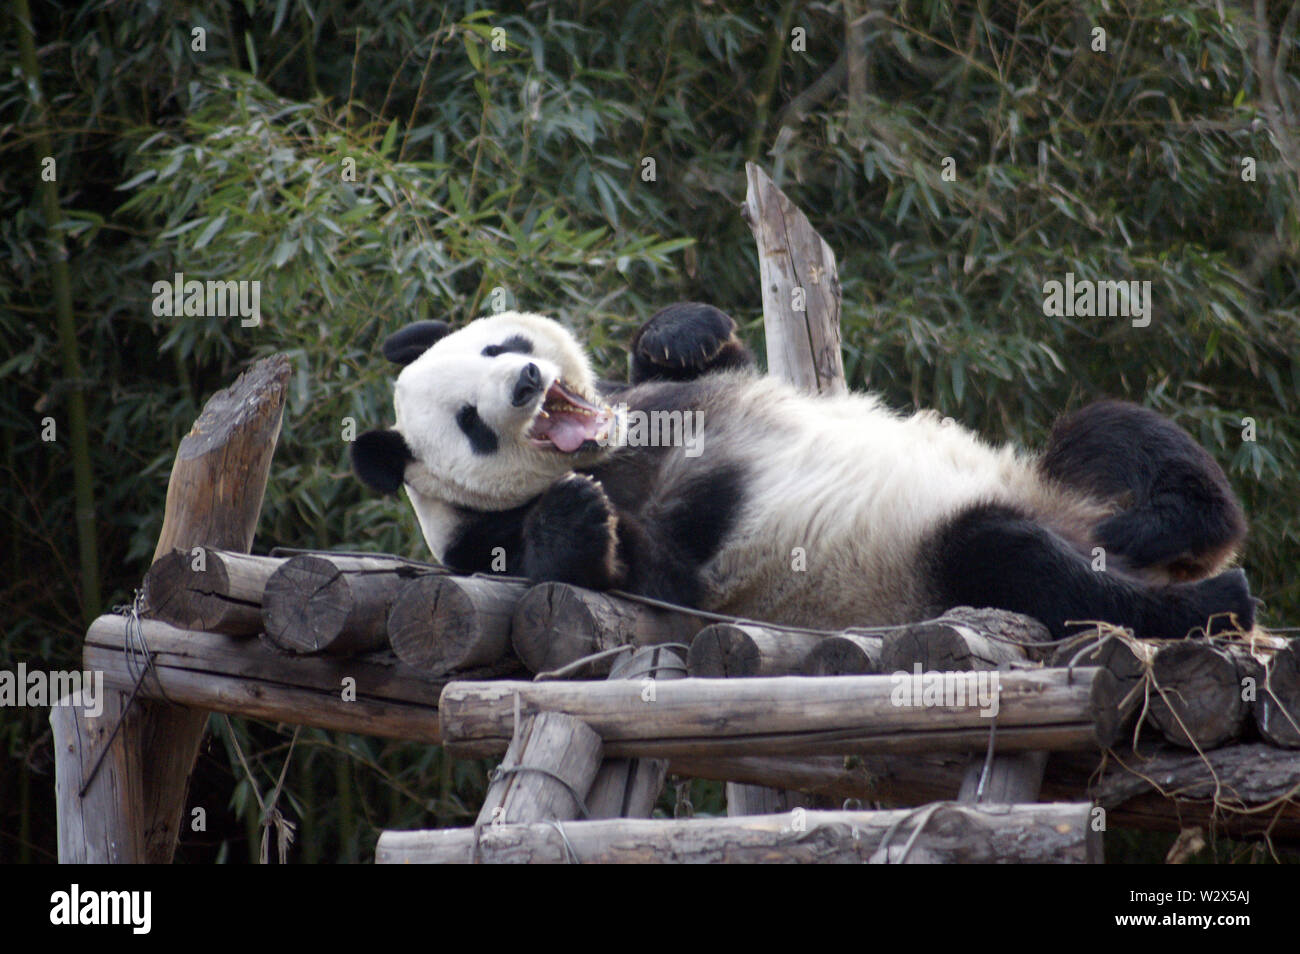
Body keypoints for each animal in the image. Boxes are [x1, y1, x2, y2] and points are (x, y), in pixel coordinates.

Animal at [352, 303, 1254, 642]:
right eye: (470, 425)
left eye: (498, 346)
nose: (525, 385)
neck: (619, 445)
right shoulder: (486, 540)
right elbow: (658, 578)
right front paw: (577, 527)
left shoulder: (662, 399)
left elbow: (707, 360)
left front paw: (677, 331)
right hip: (923, 567)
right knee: (1012, 559)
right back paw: (1211, 600)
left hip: (1053, 475)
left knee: (1107, 432)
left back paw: (1167, 522)